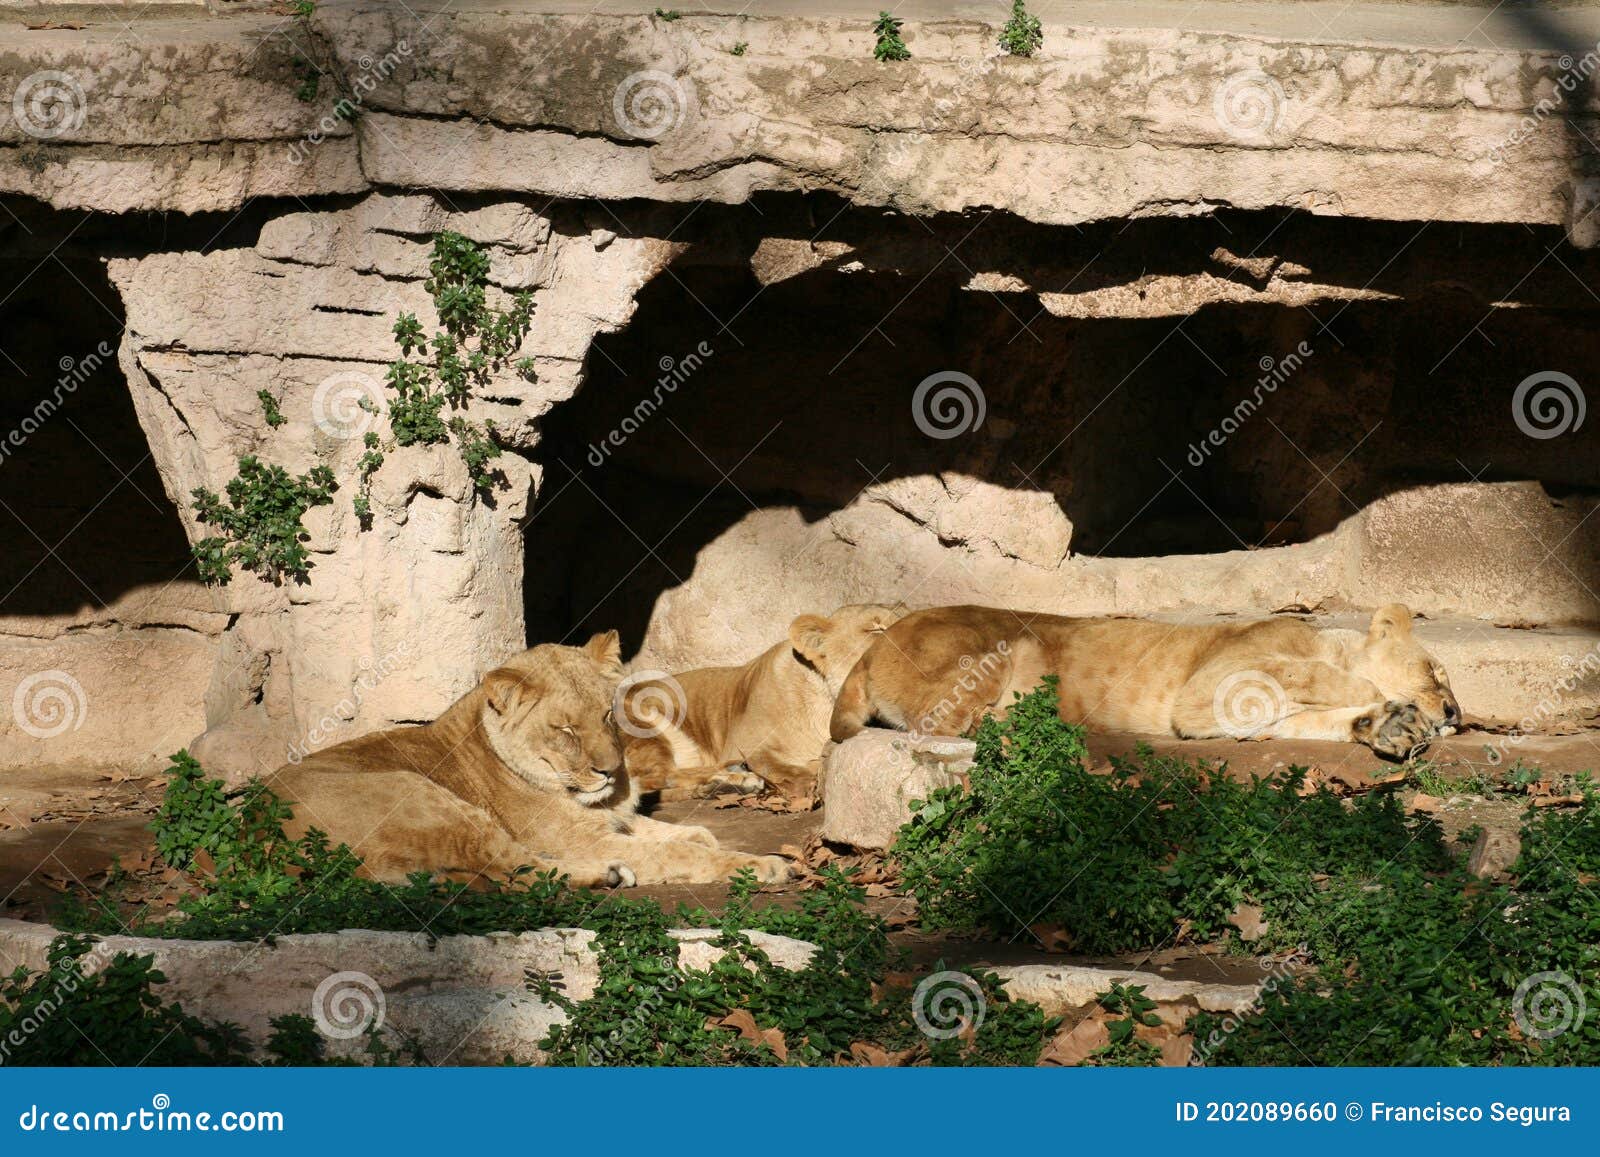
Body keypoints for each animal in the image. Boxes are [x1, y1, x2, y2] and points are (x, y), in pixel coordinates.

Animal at [265, 632, 792, 887]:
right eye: (565, 730)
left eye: (607, 714)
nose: (610, 771)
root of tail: (261, 840)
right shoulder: (583, 837)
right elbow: (675, 852)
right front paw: (754, 864)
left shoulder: (608, 822)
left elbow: (672, 832)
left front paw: (701, 832)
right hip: (423, 795)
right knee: (514, 864)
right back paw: (611, 873)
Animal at [622, 604, 907, 800]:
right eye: (876, 628)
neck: (827, 705)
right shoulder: (744, 741)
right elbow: (778, 764)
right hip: (643, 723)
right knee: (655, 778)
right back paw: (734, 780)